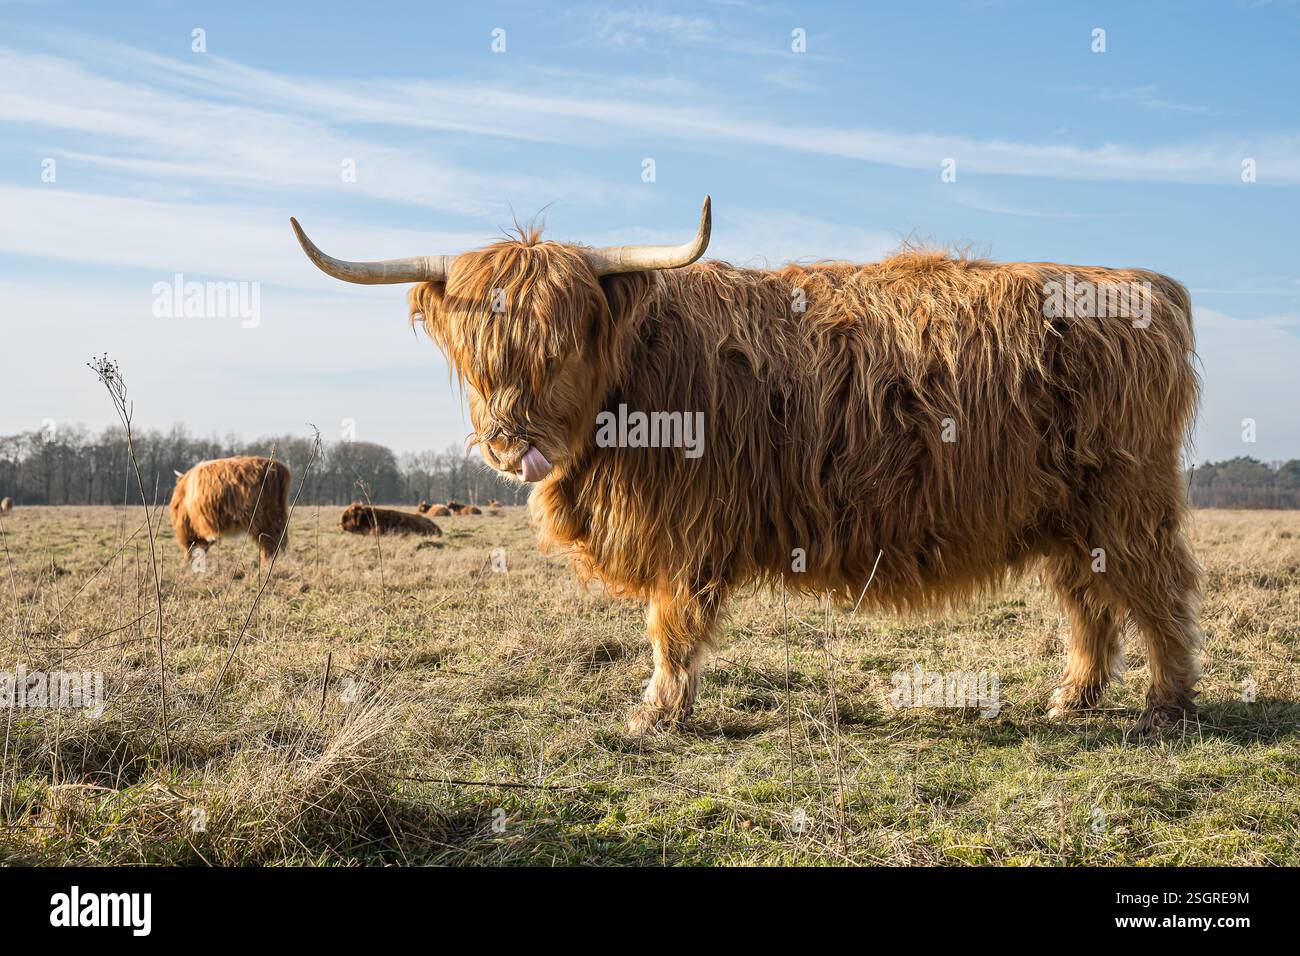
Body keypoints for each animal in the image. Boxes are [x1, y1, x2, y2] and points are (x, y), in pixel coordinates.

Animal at [292, 197, 1202, 736]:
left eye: (560, 345)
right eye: (482, 355)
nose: (515, 441)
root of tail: (1148, 287)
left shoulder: (684, 527)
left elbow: (670, 625)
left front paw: (657, 713)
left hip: (1126, 503)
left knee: (1156, 593)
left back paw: (1166, 703)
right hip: (1066, 515)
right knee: (1089, 603)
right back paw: (1073, 699)